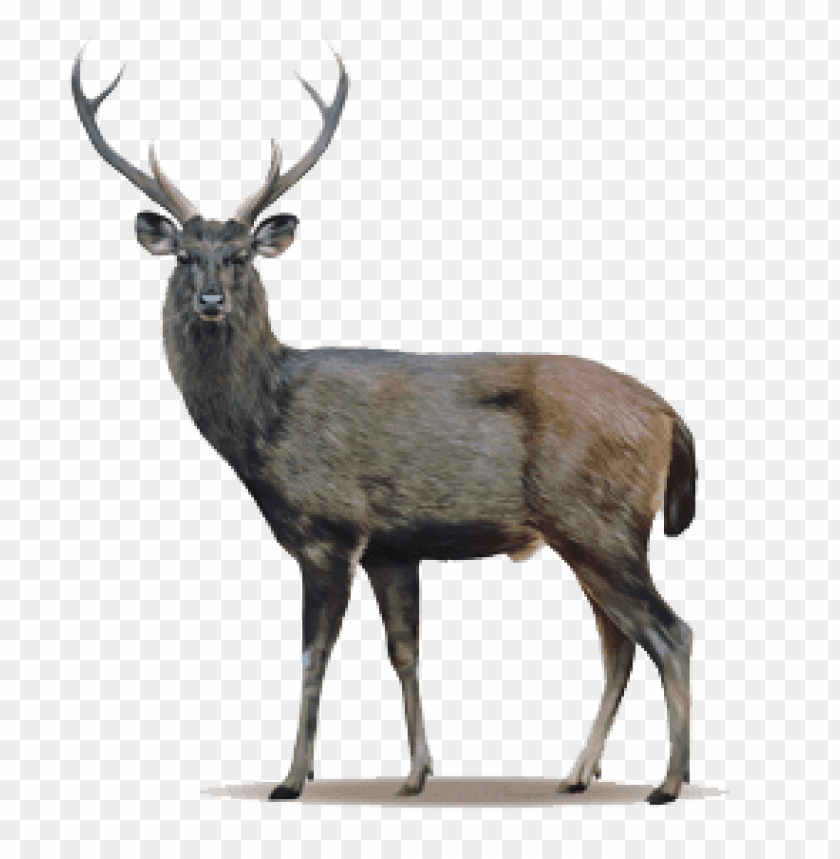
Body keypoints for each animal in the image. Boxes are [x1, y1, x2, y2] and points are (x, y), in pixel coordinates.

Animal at [72, 46, 697, 805]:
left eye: (242, 254)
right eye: (186, 256)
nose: (211, 299)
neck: (265, 423)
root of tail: (668, 415)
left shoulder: (330, 529)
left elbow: (314, 653)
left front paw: (292, 777)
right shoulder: (393, 546)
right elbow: (405, 652)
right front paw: (416, 770)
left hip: (600, 521)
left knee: (669, 631)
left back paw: (669, 781)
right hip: (588, 534)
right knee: (620, 641)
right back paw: (579, 771)